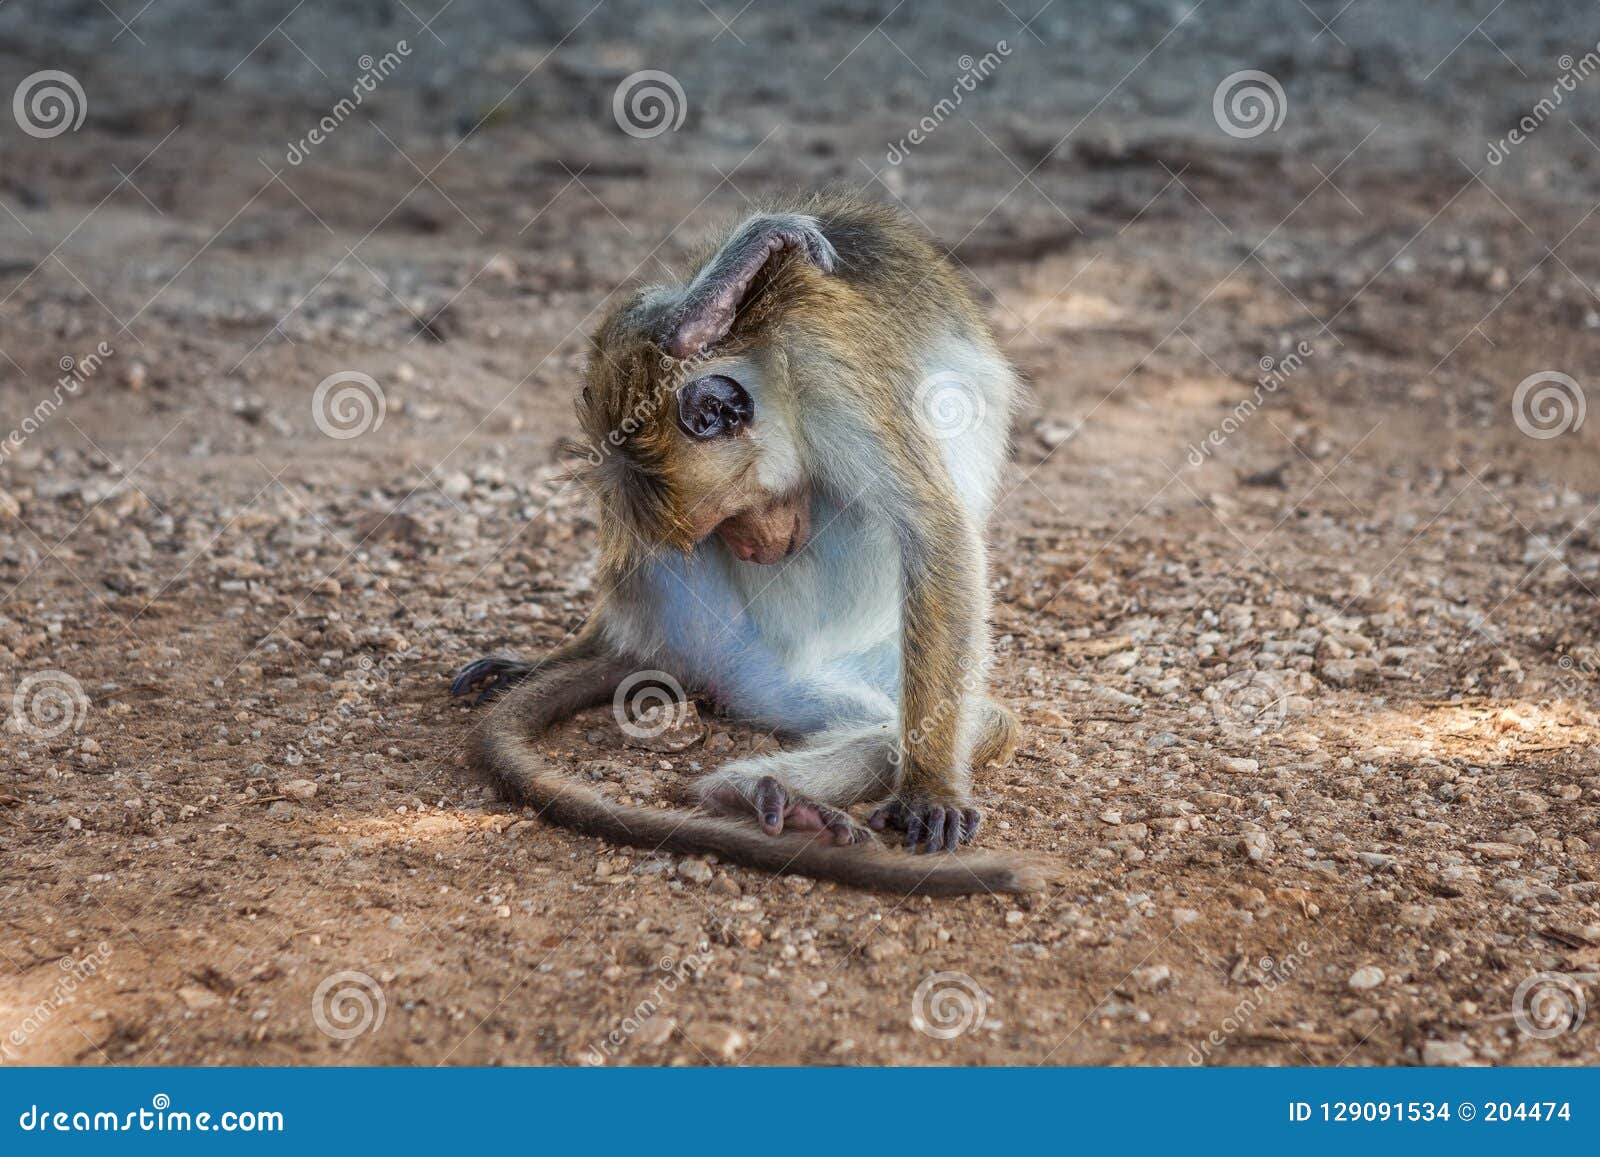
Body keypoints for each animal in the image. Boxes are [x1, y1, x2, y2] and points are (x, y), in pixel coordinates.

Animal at [452, 192, 1052, 896]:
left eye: (735, 513)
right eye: (719, 527)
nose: (752, 551)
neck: (767, 357)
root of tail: (691, 661)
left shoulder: (829, 384)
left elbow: (934, 534)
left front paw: (929, 787)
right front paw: (705, 304)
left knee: (953, 718)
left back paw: (756, 796)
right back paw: (751, 796)